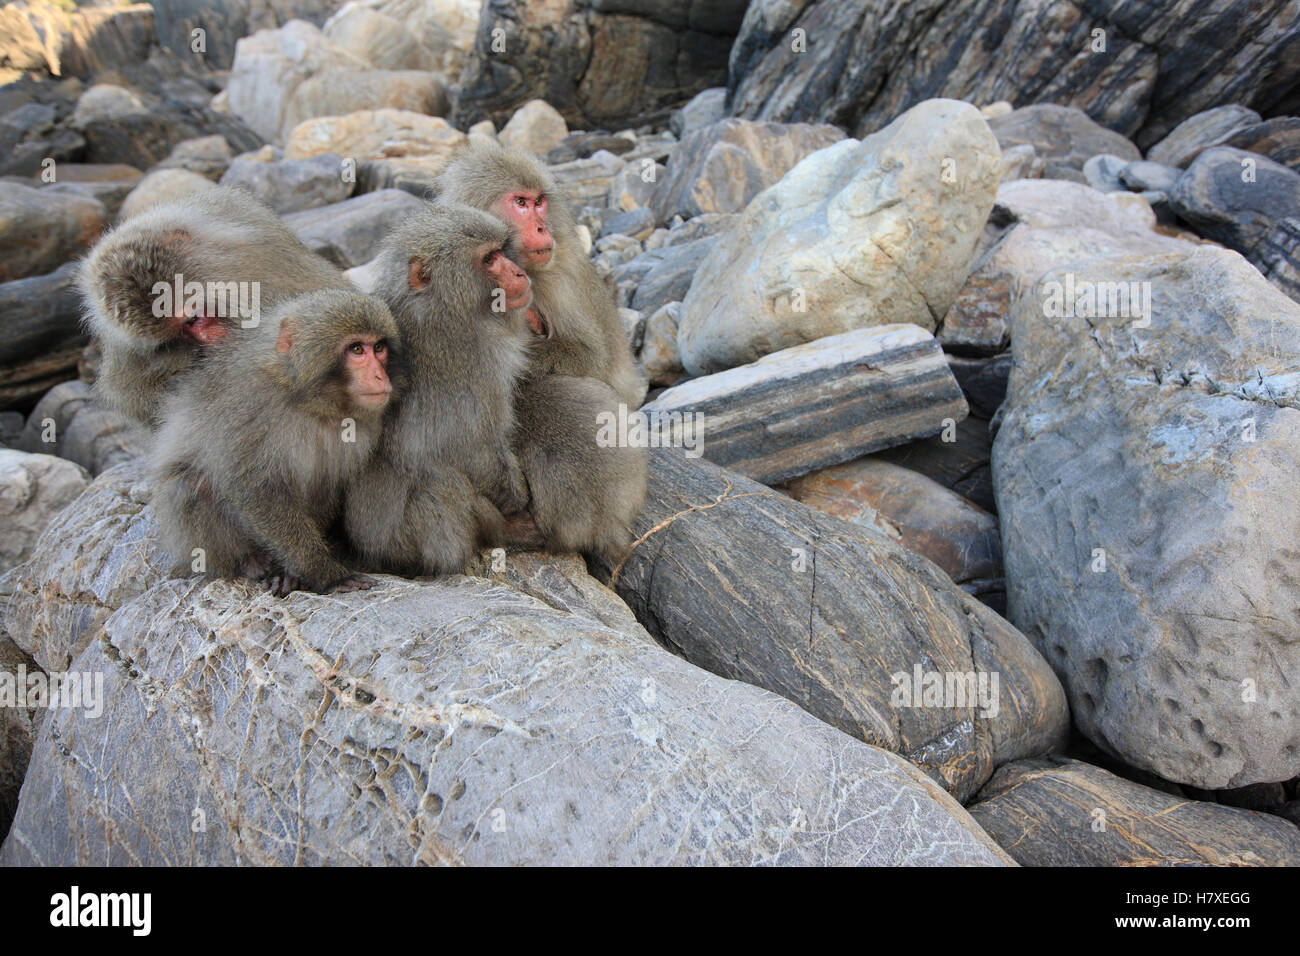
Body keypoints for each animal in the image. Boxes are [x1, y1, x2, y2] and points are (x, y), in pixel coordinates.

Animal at [150, 289, 401, 596]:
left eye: (378, 347)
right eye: (356, 349)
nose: (380, 375)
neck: (306, 401)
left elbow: (325, 486)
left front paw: (294, 571)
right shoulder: (248, 404)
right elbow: (255, 488)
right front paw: (325, 573)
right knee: (191, 486)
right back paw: (247, 561)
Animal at [342, 200, 535, 576]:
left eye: (500, 252)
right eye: (489, 259)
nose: (519, 274)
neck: (444, 310)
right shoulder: (480, 369)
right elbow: (472, 449)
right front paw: (514, 497)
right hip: (408, 539)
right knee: (444, 483)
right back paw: (501, 531)